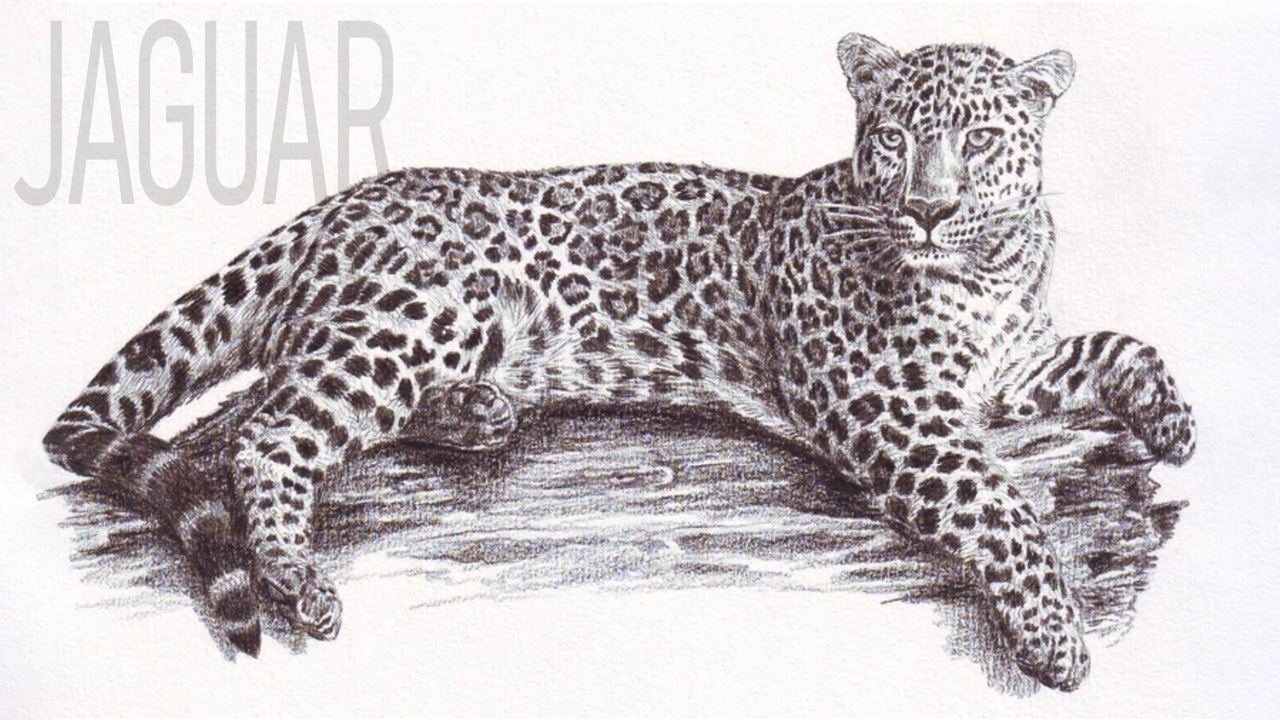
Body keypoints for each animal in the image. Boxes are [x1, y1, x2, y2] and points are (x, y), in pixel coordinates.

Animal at [43, 33, 1195, 691]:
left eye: (976, 141)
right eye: (897, 139)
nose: (927, 208)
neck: (988, 266)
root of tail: (330, 206)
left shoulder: (1006, 372)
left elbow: (1117, 343)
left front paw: (1173, 418)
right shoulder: (895, 412)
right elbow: (1001, 508)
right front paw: (1056, 642)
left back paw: (475, 415)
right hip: (419, 311)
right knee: (270, 426)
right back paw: (292, 573)